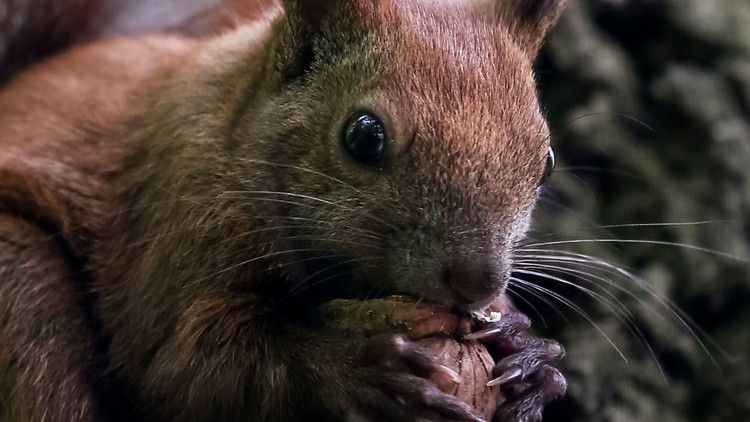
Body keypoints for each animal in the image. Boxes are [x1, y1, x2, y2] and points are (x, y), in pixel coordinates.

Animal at [0, 0, 568, 421]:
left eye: (548, 161)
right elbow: (182, 368)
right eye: (363, 136)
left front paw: (531, 355)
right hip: (23, 284)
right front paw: (357, 370)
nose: (477, 283)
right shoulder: (172, 224)